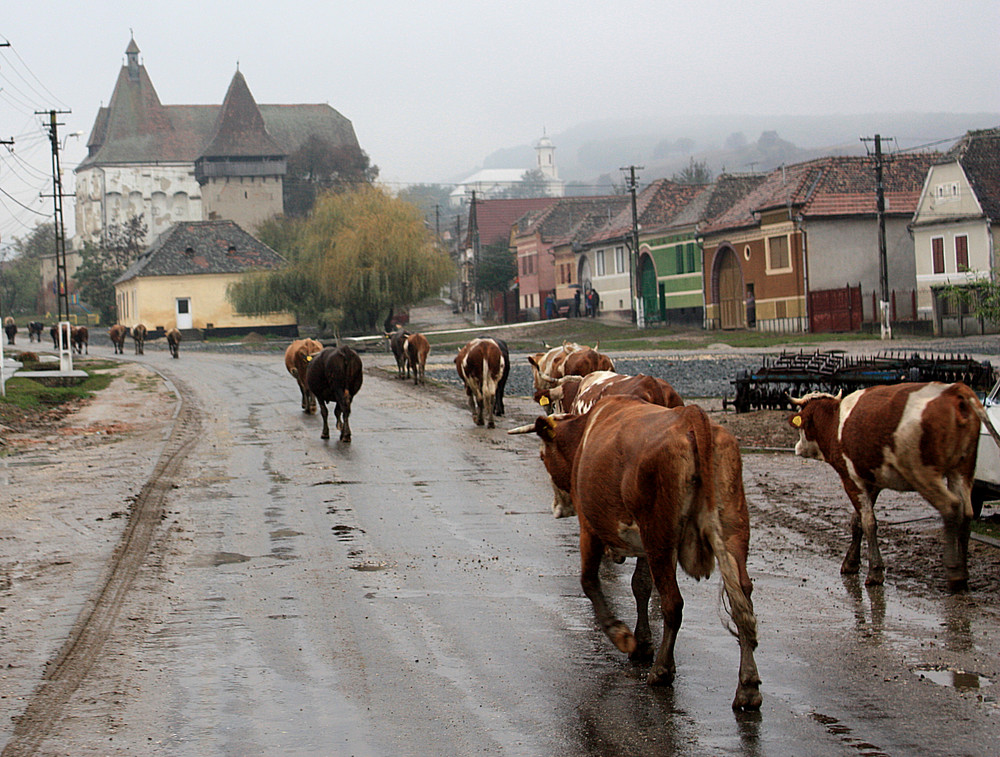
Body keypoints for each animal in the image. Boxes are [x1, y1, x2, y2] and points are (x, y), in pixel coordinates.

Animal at [508, 396, 756, 708]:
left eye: (543, 457)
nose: (557, 507)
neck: (584, 433)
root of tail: (690, 416)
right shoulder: (642, 548)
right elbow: (641, 586)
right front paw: (643, 643)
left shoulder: (590, 528)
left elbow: (589, 582)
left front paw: (622, 635)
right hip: (732, 530)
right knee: (742, 601)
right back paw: (748, 686)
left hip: (659, 534)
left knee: (673, 603)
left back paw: (662, 670)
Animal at [788, 380, 1000, 592]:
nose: (797, 448)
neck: (835, 423)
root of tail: (954, 390)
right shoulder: (871, 482)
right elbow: (857, 521)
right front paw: (851, 563)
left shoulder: (850, 478)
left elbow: (869, 522)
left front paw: (875, 571)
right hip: (962, 471)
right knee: (966, 514)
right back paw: (963, 574)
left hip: (923, 474)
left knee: (951, 507)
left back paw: (954, 573)